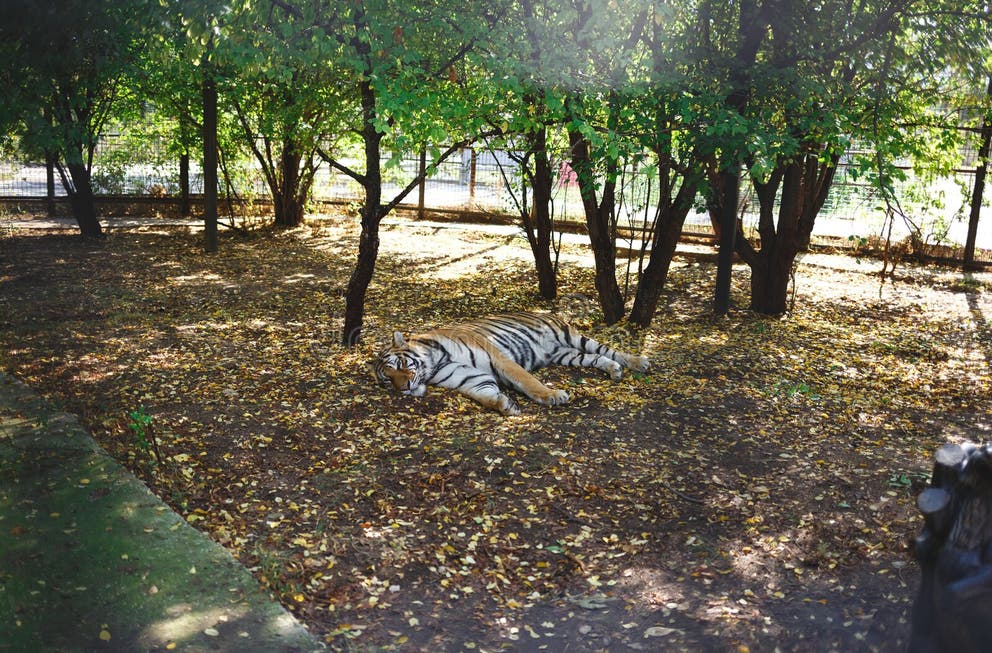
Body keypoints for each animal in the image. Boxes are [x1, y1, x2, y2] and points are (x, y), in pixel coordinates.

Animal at [372, 312, 650, 415]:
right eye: (387, 380)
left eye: (400, 365)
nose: (404, 388)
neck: (435, 363)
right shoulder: (468, 377)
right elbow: (483, 393)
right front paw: (504, 404)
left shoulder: (499, 357)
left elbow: (527, 380)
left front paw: (552, 396)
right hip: (565, 354)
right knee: (597, 358)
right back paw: (614, 371)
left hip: (571, 337)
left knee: (607, 349)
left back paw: (637, 362)